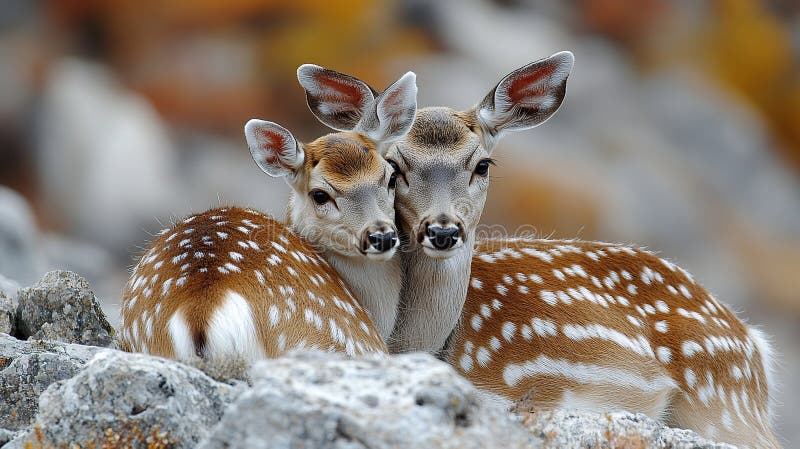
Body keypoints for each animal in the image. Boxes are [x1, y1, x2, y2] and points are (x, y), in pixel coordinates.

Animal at [299, 54, 781, 449]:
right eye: (394, 168)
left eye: (482, 164)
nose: (442, 230)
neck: (419, 346)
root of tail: (754, 343)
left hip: (723, 403)